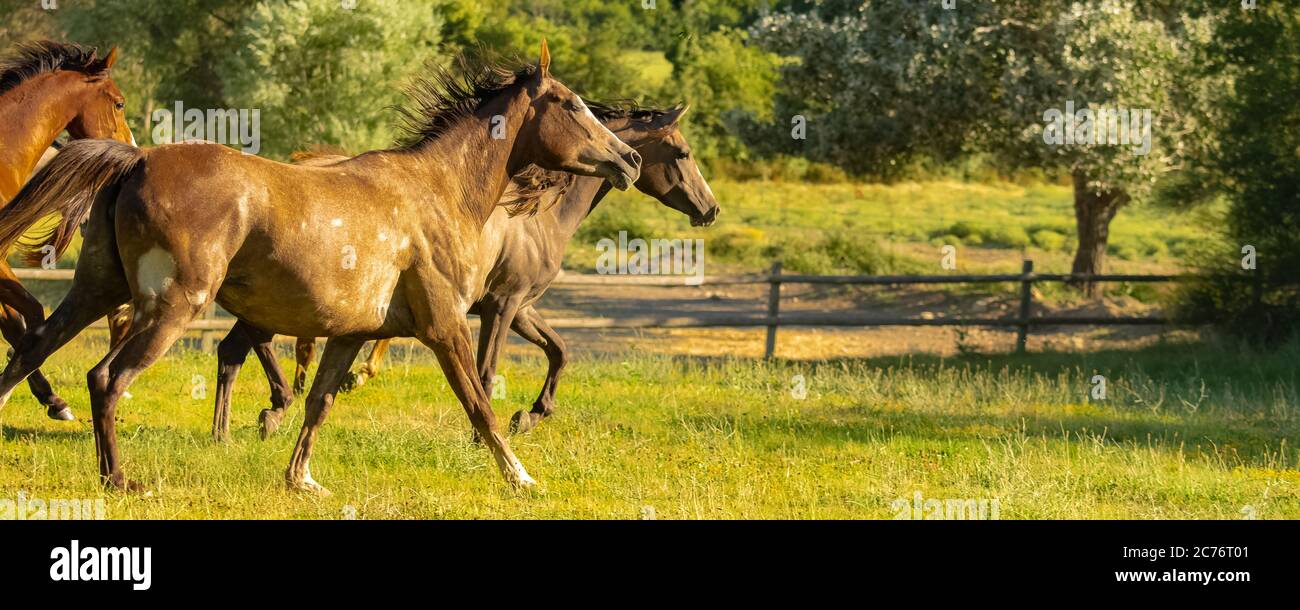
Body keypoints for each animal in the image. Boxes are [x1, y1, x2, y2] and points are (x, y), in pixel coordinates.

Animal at [211, 101, 720, 442]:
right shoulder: (502, 305)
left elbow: (559, 351)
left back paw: (241, 425)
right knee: (248, 342)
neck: (535, 215)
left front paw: (529, 416)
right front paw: (488, 434)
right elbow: (488, 369)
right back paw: (272, 410)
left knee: (234, 347)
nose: (710, 209)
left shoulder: (519, 307)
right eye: (681, 152)